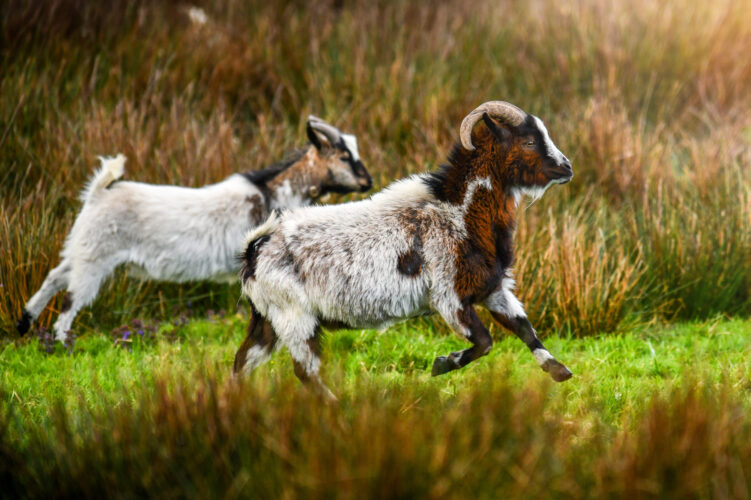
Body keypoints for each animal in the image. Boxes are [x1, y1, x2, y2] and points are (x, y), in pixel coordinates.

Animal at [16, 116, 372, 341]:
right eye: (343, 156)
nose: (367, 181)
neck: (273, 192)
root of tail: (99, 192)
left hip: (82, 247)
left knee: (54, 276)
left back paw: (25, 323)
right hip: (96, 258)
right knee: (70, 299)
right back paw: (62, 342)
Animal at [234, 101, 574, 399]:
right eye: (528, 141)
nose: (567, 168)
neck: (458, 214)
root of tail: (255, 249)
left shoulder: (492, 288)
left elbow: (525, 329)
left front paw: (560, 371)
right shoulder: (448, 297)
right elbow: (485, 341)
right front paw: (442, 364)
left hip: (268, 318)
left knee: (243, 362)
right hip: (294, 316)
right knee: (304, 371)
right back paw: (335, 405)